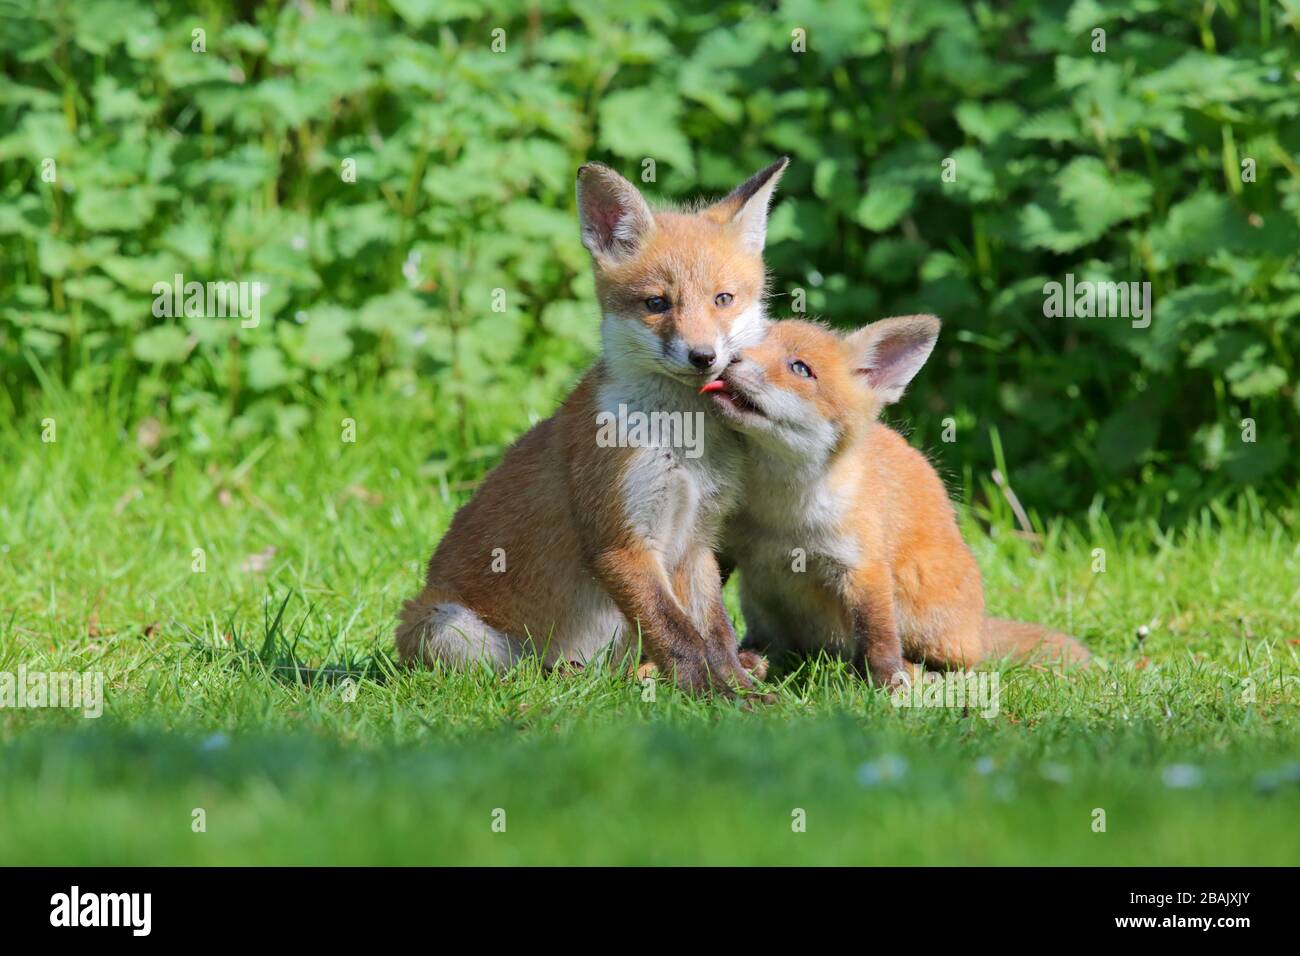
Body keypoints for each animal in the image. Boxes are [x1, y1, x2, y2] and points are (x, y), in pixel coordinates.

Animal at [396, 158, 791, 694]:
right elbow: (680, 636)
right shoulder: (620, 542)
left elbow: (714, 633)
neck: (683, 443)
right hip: (445, 626)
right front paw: (714, 695)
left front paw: (736, 686)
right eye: (656, 304)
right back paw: (564, 680)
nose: (703, 356)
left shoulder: (697, 540)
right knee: (524, 675)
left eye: (722, 299)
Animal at [704, 317, 1090, 687]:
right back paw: (755, 660)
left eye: (800, 368)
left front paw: (889, 685)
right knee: (774, 646)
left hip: (924, 608)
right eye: (747, 342)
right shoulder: (725, 547)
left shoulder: (862, 566)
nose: (729, 358)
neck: (778, 516)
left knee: (965, 665)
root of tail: (980, 626)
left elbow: (878, 636)